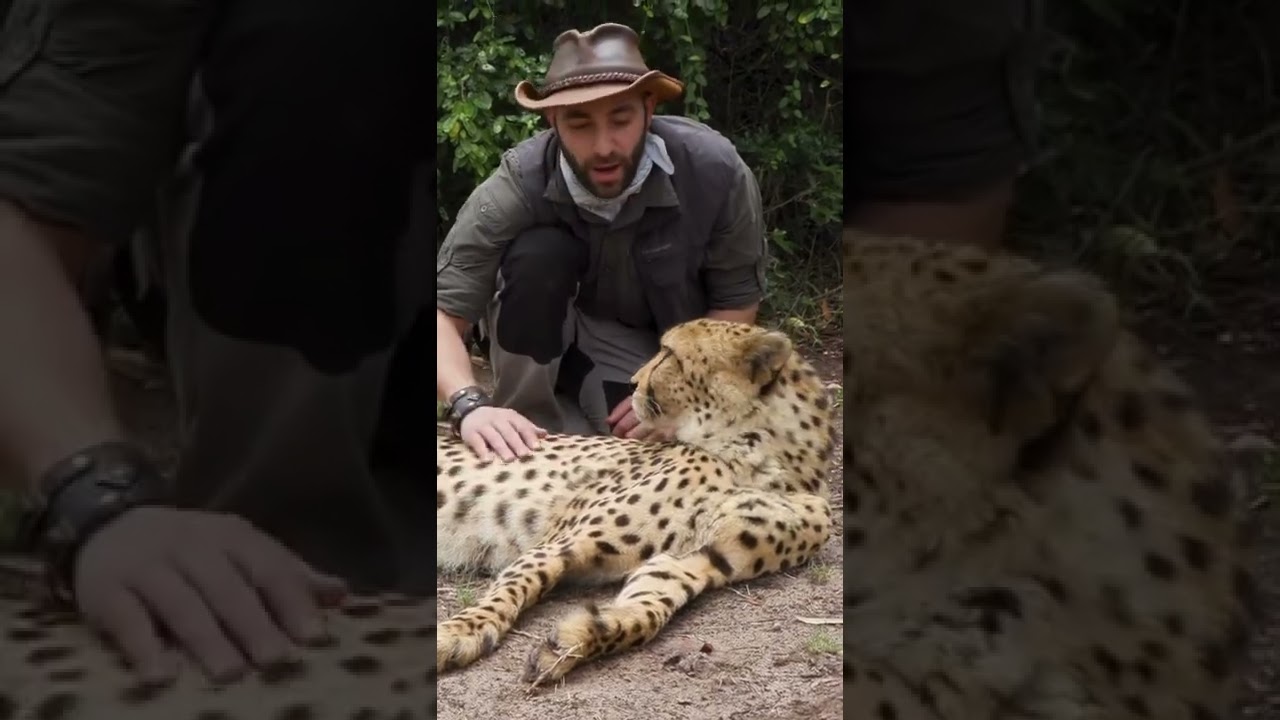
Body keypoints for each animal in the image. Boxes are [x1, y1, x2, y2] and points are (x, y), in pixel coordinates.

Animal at [0, 317, 838, 718]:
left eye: (669, 353)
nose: (631, 381)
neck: (764, 453)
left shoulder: (692, 561)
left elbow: (647, 611)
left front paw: (577, 640)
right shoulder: (569, 534)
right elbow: (510, 590)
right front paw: (456, 635)